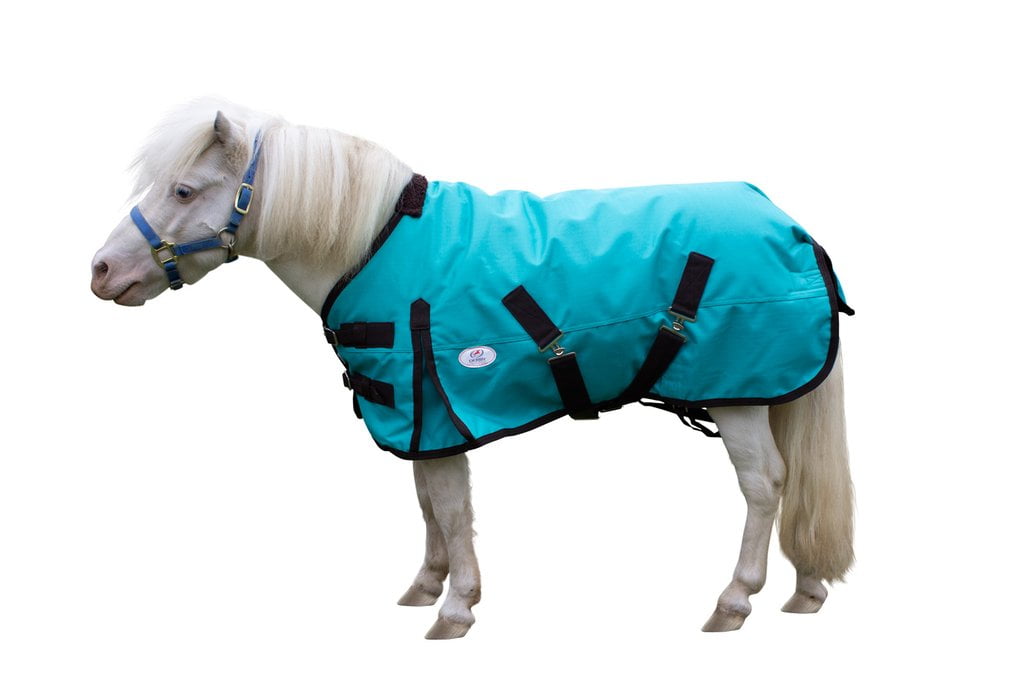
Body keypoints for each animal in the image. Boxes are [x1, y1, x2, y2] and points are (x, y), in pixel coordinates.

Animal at [90, 99, 854, 639]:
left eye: (184, 191)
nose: (100, 271)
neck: (369, 243)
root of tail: (793, 228)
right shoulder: (417, 418)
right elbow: (428, 504)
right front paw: (426, 586)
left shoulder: (434, 407)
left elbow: (452, 508)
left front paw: (455, 609)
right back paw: (806, 590)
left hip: (737, 395)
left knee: (764, 485)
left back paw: (734, 601)